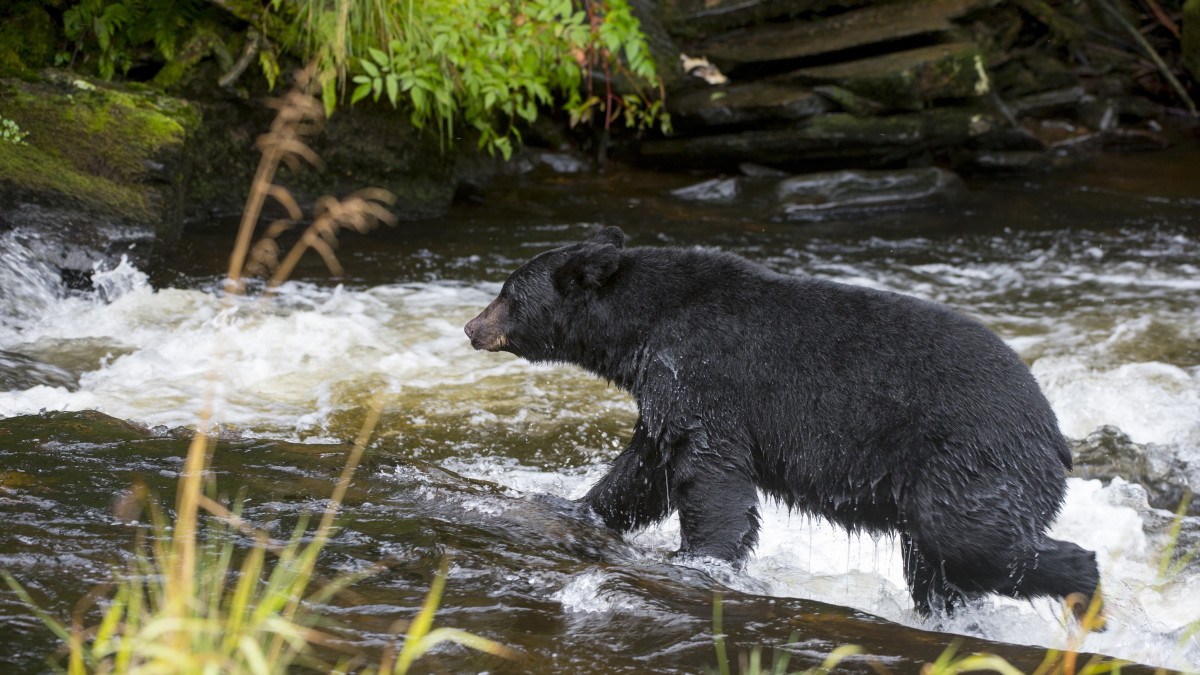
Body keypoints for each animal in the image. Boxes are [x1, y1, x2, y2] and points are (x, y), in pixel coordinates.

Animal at [465, 225, 1100, 615]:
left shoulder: (706, 374)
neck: (644, 326)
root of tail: (1056, 436)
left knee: (971, 540)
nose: (471, 327)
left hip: (971, 461)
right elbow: (645, 469)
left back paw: (1087, 593)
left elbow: (711, 477)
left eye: (507, 293)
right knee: (939, 567)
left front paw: (701, 561)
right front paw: (573, 505)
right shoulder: (665, 389)